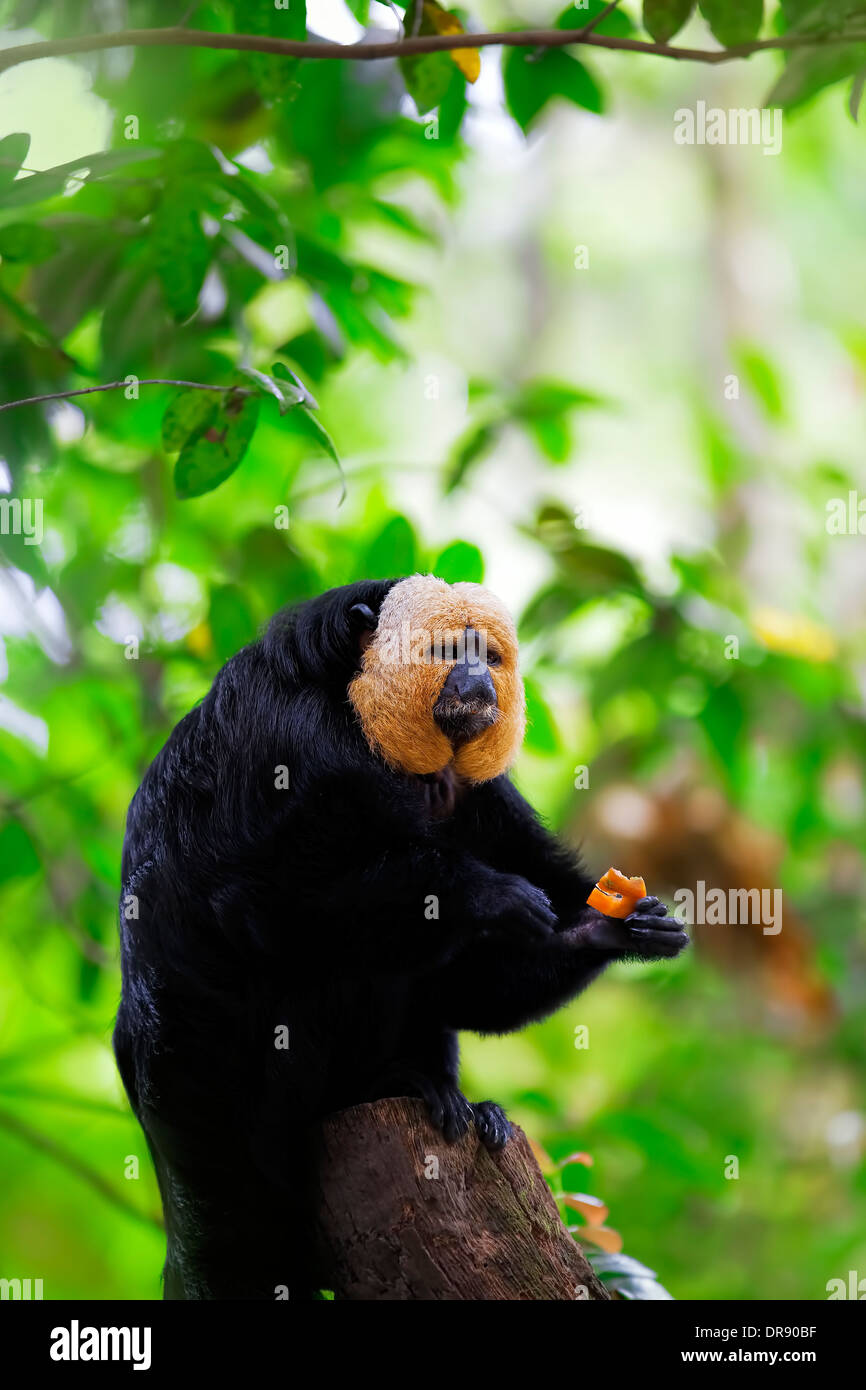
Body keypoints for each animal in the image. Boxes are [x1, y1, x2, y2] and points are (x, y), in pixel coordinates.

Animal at [114, 573, 688, 1299]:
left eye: (489, 656)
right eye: (446, 652)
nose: (479, 679)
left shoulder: (480, 796)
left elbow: (465, 991)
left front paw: (608, 929)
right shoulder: (292, 740)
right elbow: (256, 902)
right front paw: (485, 895)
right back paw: (376, 1088)